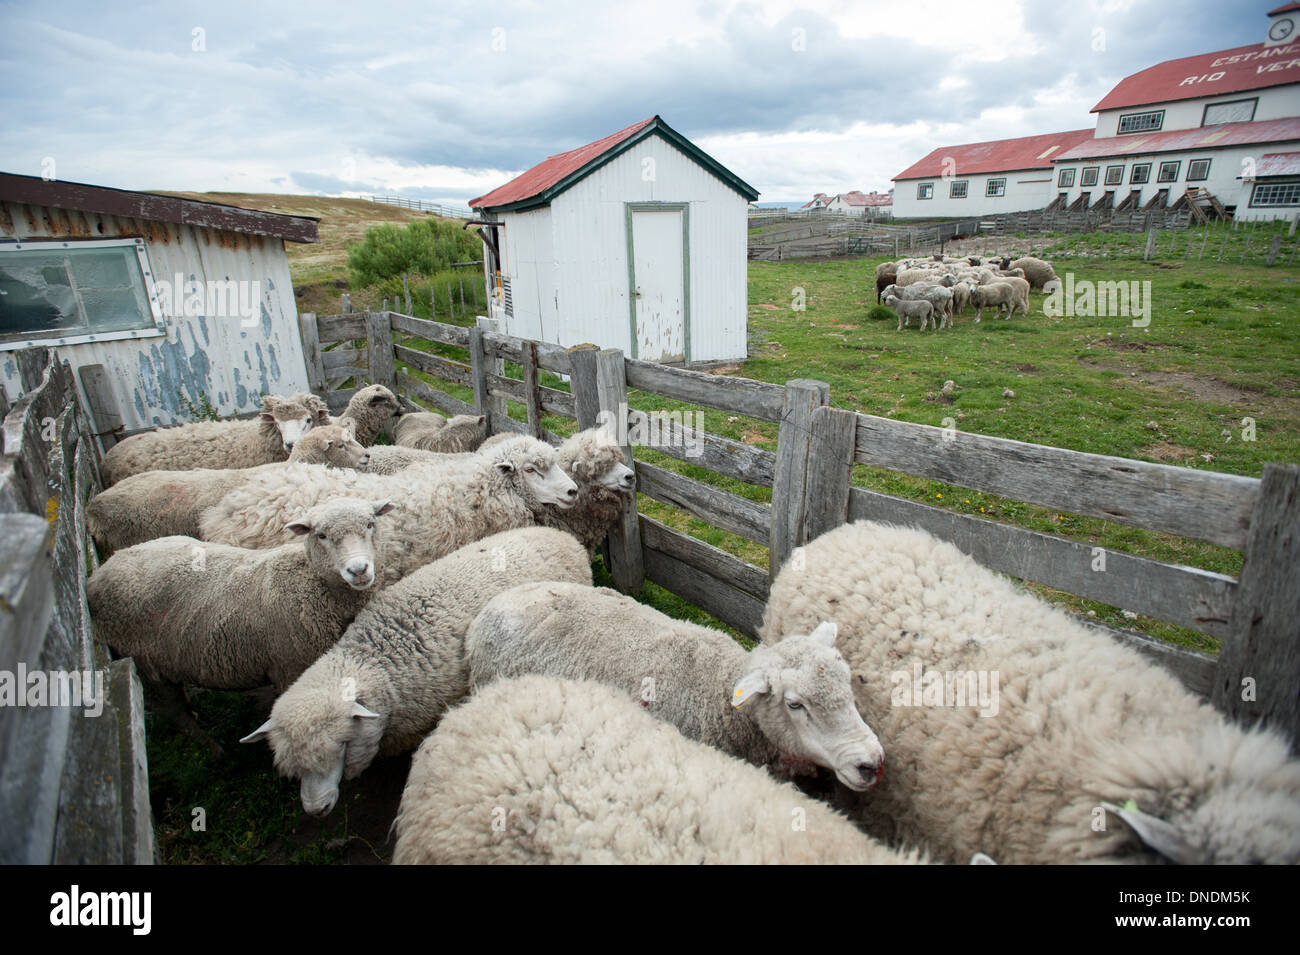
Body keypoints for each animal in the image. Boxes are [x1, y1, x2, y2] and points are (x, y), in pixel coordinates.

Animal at [87, 497, 392, 694]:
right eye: (321, 535)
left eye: (370, 524)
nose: (358, 570)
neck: (313, 584)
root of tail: (98, 574)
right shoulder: (289, 669)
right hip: (142, 662)